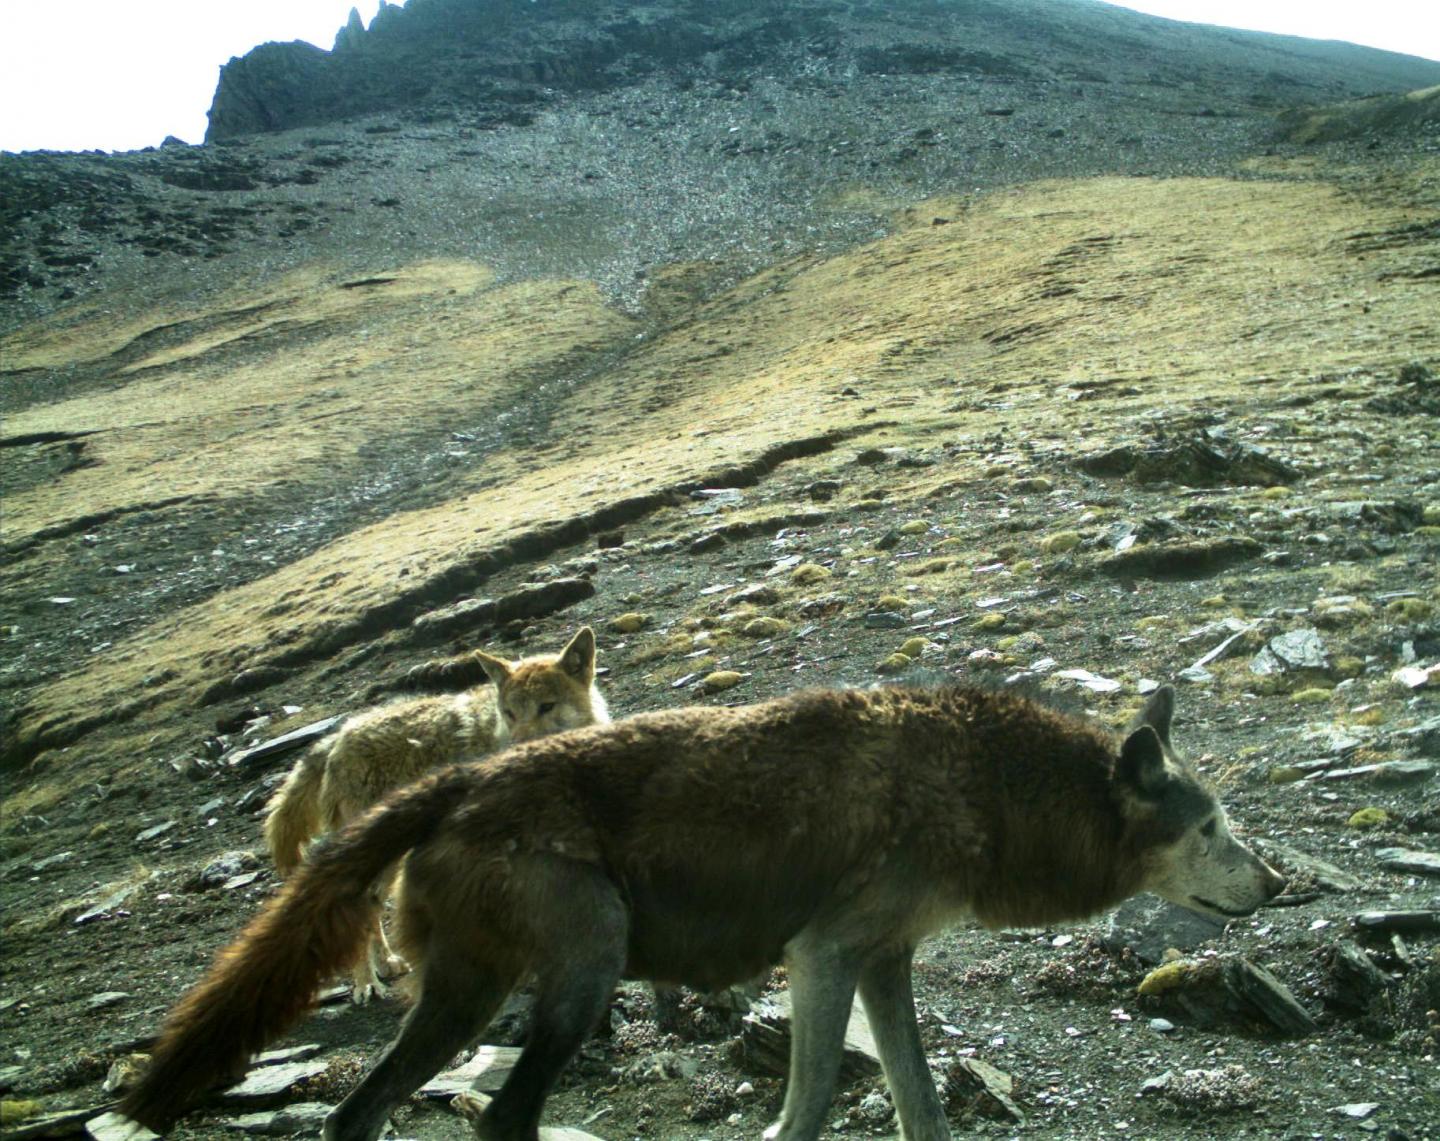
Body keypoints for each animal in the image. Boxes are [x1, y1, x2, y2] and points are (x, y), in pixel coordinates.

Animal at [123, 683, 1284, 1141]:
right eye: (1213, 826)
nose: (1275, 884)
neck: (990, 786)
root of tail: (460, 779)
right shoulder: (823, 955)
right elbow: (807, 1109)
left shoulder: (883, 964)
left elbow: (923, 1107)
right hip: (579, 976)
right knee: (499, 1115)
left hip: (466, 1000)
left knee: (352, 1114)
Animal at [262, 625, 609, 1001]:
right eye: (509, 713)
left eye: (546, 707)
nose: (514, 750)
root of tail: (336, 738)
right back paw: (366, 982)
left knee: (371, 909)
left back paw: (387, 963)